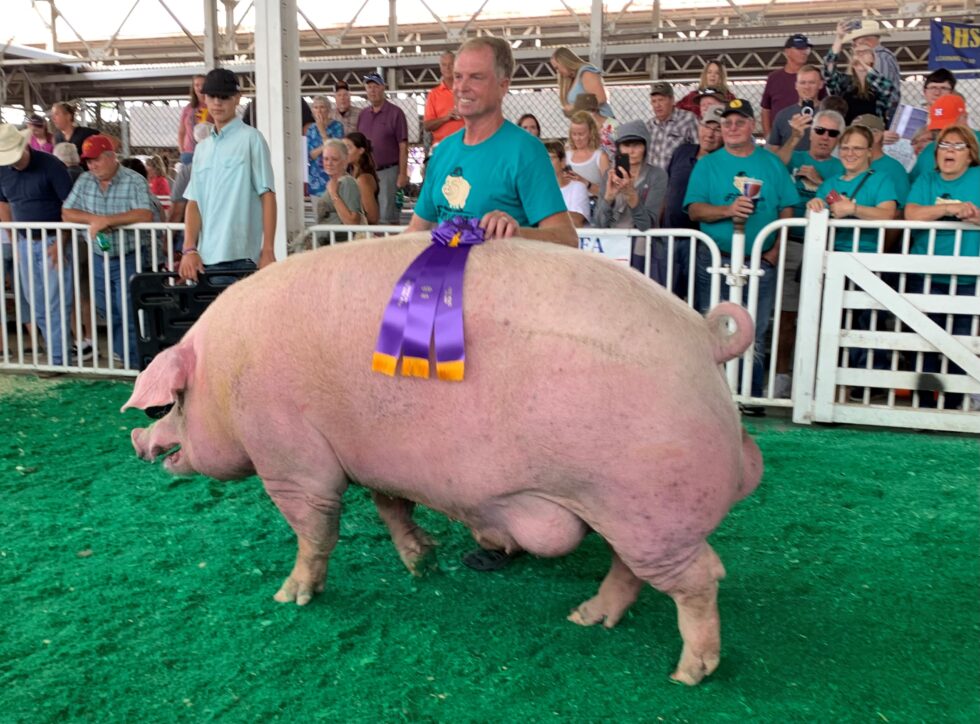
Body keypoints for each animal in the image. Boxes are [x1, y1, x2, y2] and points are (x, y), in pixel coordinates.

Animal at [122, 232, 762, 686]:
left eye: (174, 401)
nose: (138, 440)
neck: (225, 378)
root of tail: (705, 337)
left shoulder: (292, 460)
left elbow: (315, 528)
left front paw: (290, 597)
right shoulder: (376, 459)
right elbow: (391, 507)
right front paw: (422, 565)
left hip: (650, 508)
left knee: (702, 577)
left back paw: (688, 673)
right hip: (631, 516)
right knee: (631, 571)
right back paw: (587, 617)